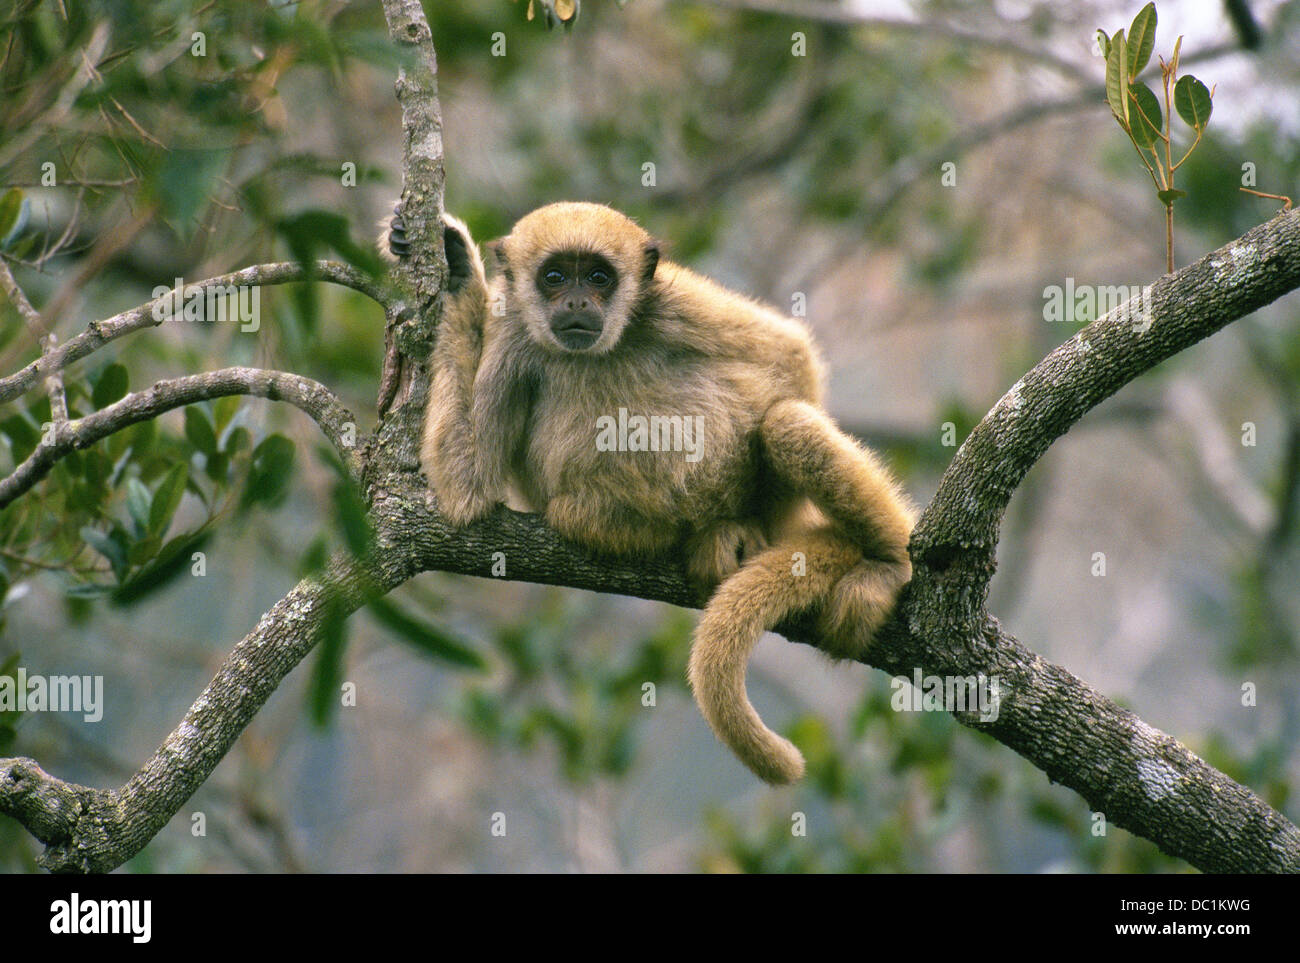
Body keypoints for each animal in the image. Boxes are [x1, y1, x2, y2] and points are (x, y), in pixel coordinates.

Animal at [386, 201, 915, 784]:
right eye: (554, 277)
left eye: (598, 278)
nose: (576, 301)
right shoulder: (512, 334)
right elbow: (467, 492)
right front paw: (459, 269)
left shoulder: (670, 303)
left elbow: (791, 354)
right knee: (574, 510)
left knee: (786, 423)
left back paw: (883, 561)